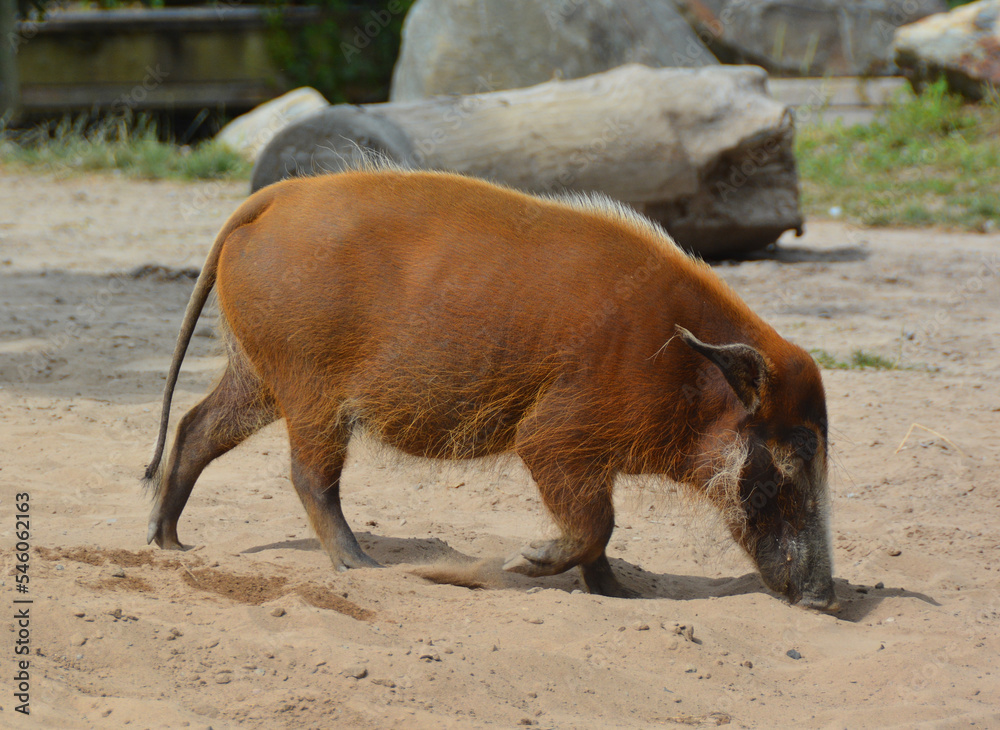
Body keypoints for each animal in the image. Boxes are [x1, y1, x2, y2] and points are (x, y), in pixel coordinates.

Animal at [144, 166, 837, 609]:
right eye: (792, 456)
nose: (828, 599)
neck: (682, 367)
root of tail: (270, 200)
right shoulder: (553, 435)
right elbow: (597, 522)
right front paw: (519, 565)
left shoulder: (593, 454)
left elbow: (600, 531)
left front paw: (621, 594)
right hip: (310, 384)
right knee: (308, 475)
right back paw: (360, 565)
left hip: (261, 374)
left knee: (197, 426)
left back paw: (168, 542)